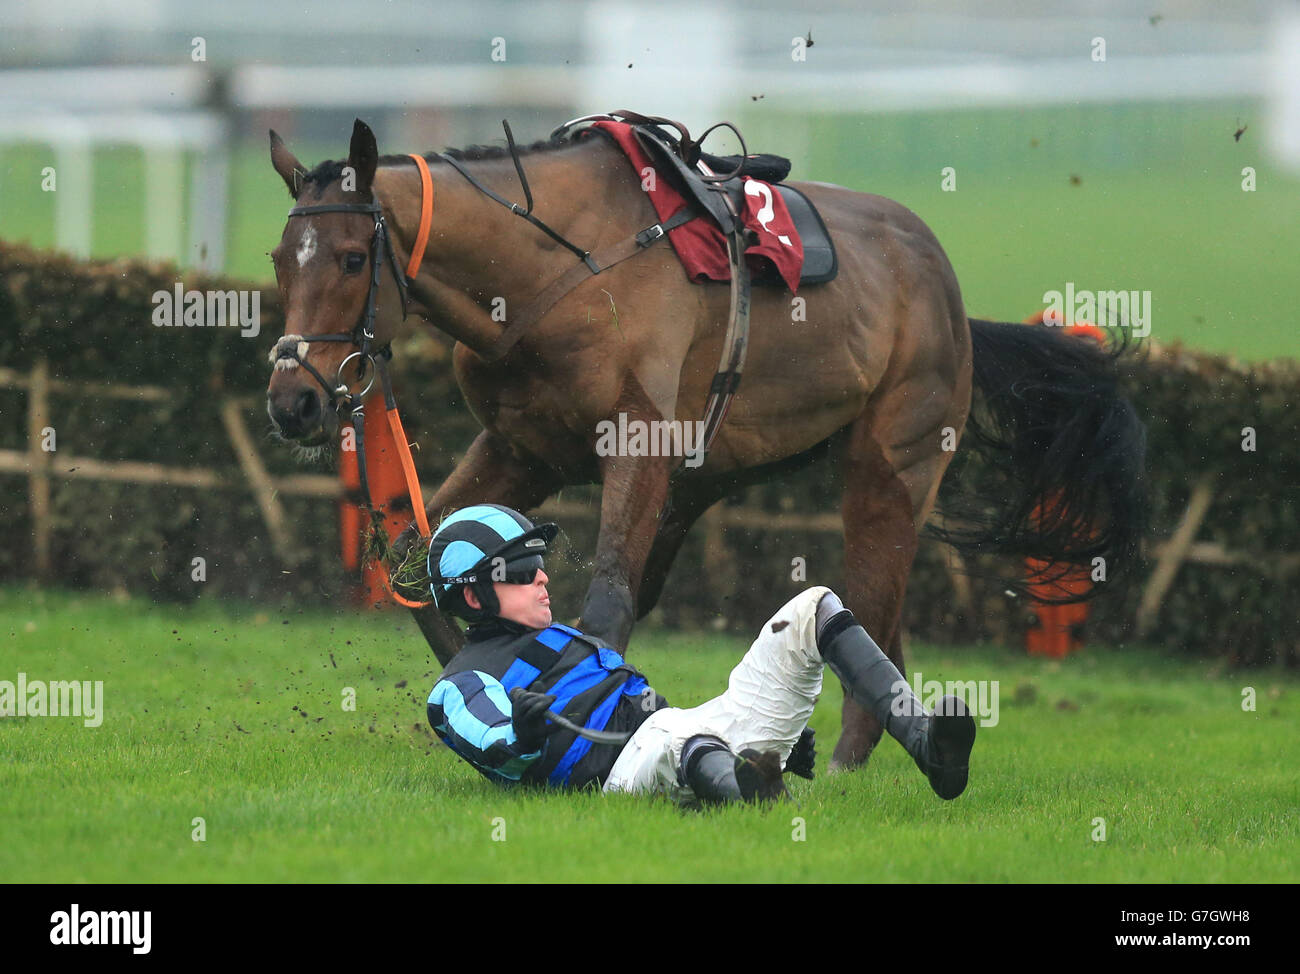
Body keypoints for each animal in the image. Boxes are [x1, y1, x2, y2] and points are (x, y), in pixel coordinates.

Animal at [265, 118, 1145, 770]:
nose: (292, 401)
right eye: (280, 260)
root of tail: (951, 294)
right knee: (881, 615)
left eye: (352, 256)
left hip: (892, 466)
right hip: (717, 478)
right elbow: (418, 560)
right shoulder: (522, 449)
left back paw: (850, 764)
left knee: (872, 588)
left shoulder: (638, 440)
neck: (552, 272)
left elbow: (608, 598)